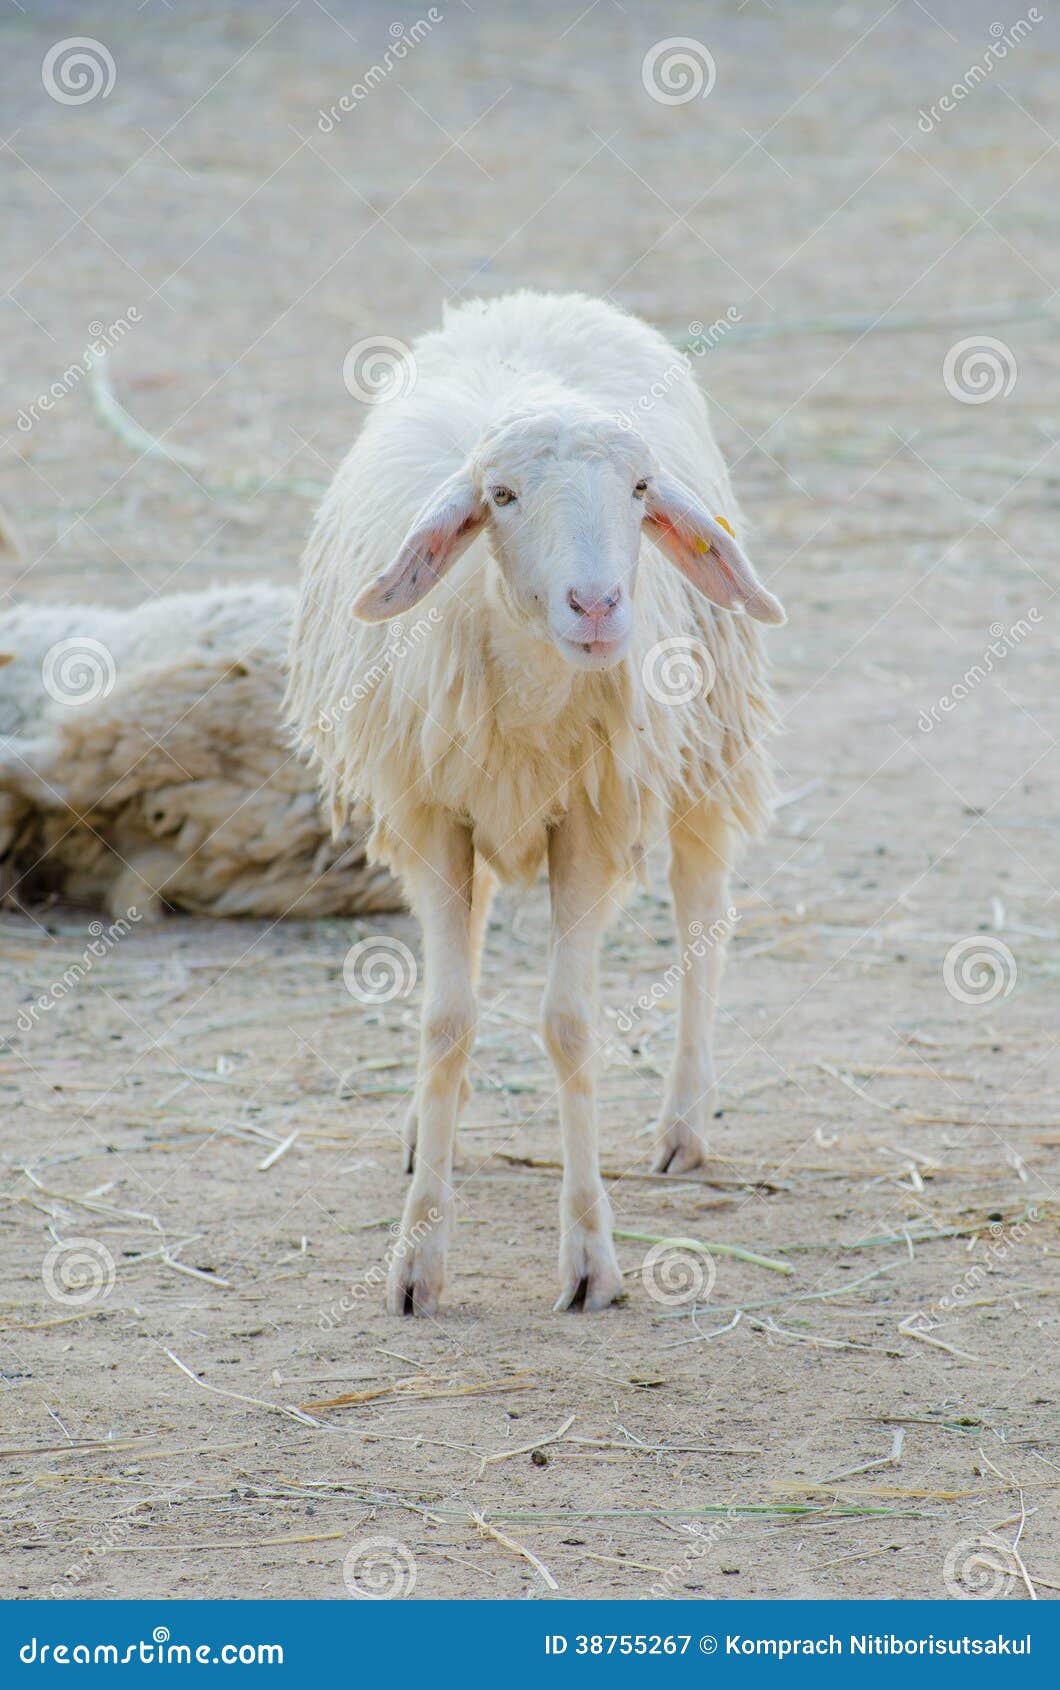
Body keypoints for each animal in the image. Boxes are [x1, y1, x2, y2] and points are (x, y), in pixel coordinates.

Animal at [287, 289, 786, 1317]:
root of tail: (540, 297)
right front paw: (417, 1261)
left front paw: (592, 1258)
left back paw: (683, 1124)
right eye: (504, 497)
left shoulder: (590, 822)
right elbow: (445, 1021)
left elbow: (569, 1027)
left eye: (640, 490)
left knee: (703, 919)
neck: (532, 687)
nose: (595, 607)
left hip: (706, 754)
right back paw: (423, 1127)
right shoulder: (434, 816)